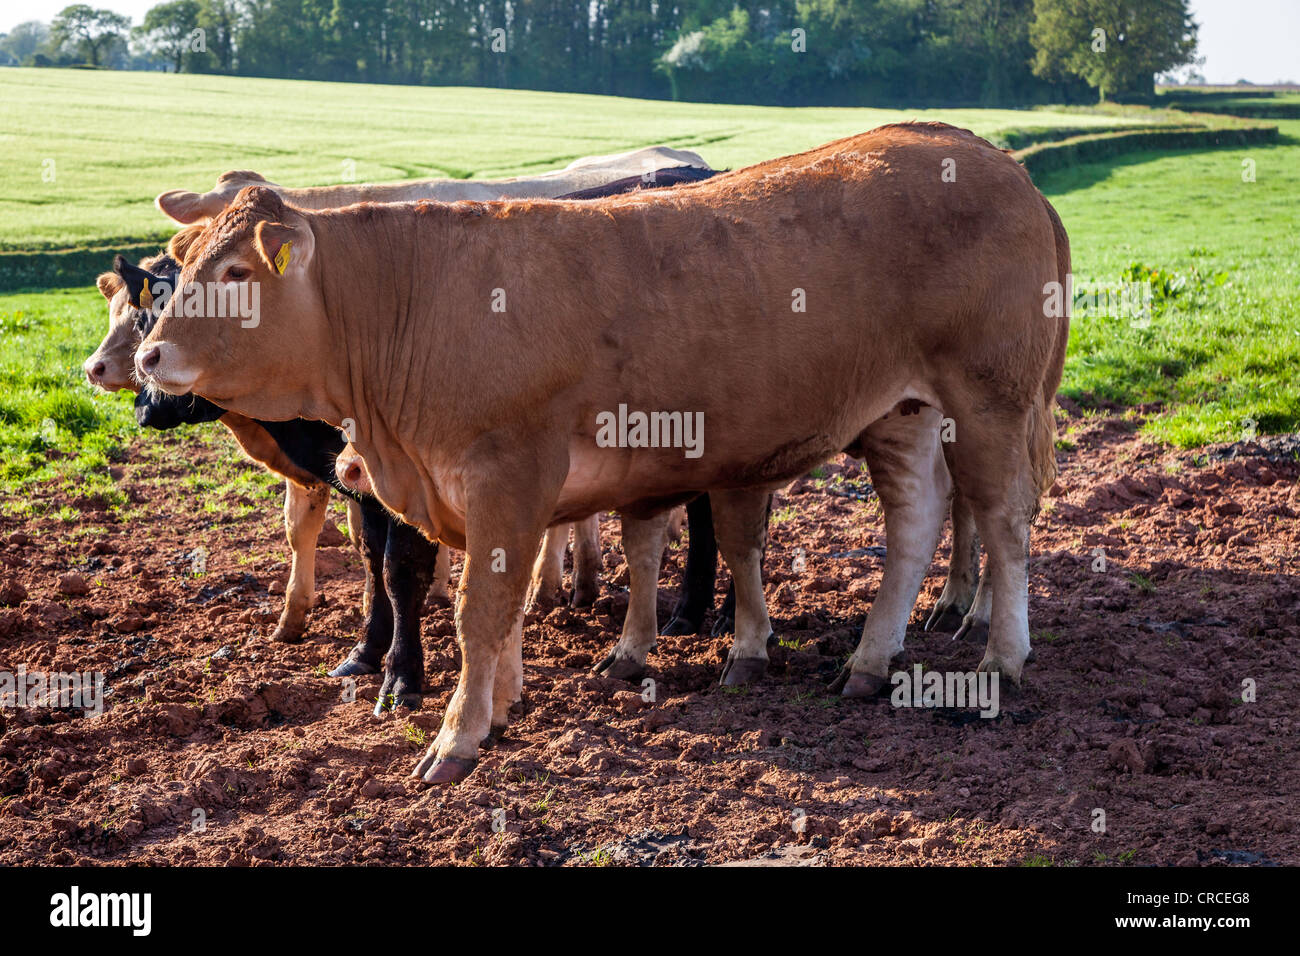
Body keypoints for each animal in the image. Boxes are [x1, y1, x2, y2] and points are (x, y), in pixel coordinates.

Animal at [134, 123, 1068, 784]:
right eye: (180, 266)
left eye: (238, 274)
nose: (146, 361)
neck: (413, 301)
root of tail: (988, 156)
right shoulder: (484, 496)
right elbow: (502, 607)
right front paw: (499, 705)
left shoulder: (507, 474)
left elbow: (479, 608)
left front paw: (456, 737)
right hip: (902, 411)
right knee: (915, 521)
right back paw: (871, 663)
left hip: (990, 400)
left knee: (1004, 521)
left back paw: (1000, 659)